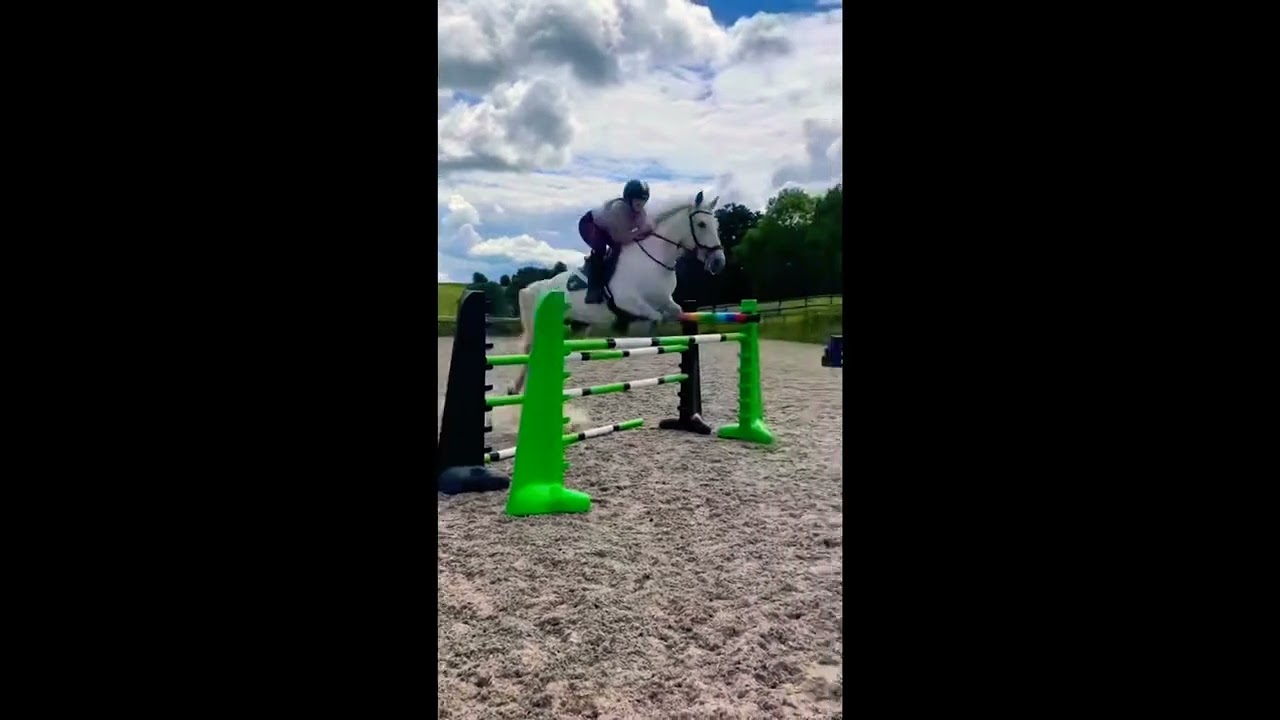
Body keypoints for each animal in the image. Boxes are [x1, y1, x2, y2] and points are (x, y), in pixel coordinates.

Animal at [508, 190, 727, 395]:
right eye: (701, 224)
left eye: (716, 224)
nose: (718, 262)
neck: (653, 259)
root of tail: (532, 288)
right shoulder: (627, 301)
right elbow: (655, 317)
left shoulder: (665, 300)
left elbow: (677, 311)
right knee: (530, 352)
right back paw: (515, 389)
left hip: (576, 327)